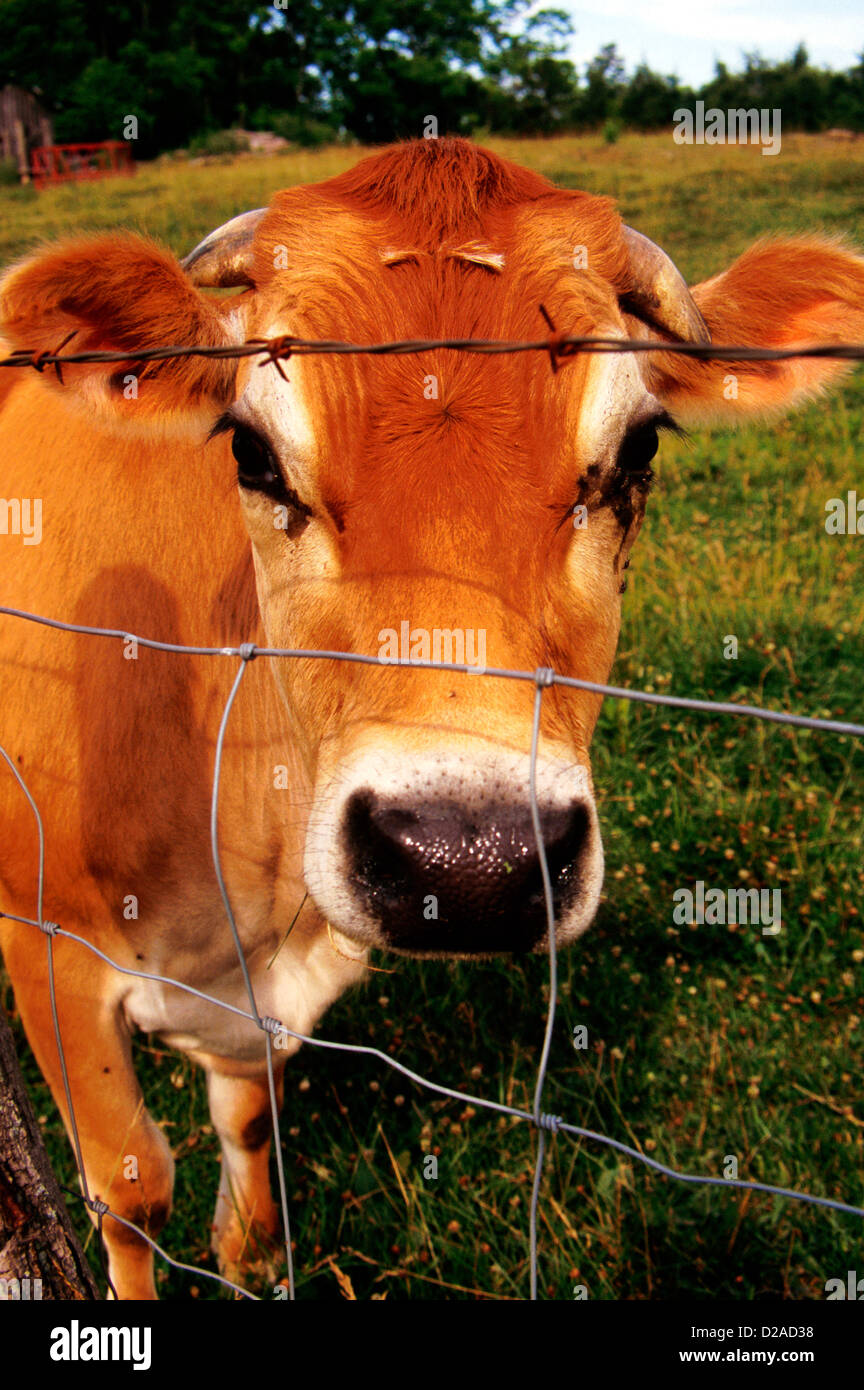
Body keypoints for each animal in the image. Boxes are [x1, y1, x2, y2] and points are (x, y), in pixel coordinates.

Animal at [1, 138, 863, 1300]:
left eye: (638, 450)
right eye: (250, 452)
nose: (470, 860)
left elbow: (248, 1113)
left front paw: (253, 1252)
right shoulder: (46, 943)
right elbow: (132, 1190)